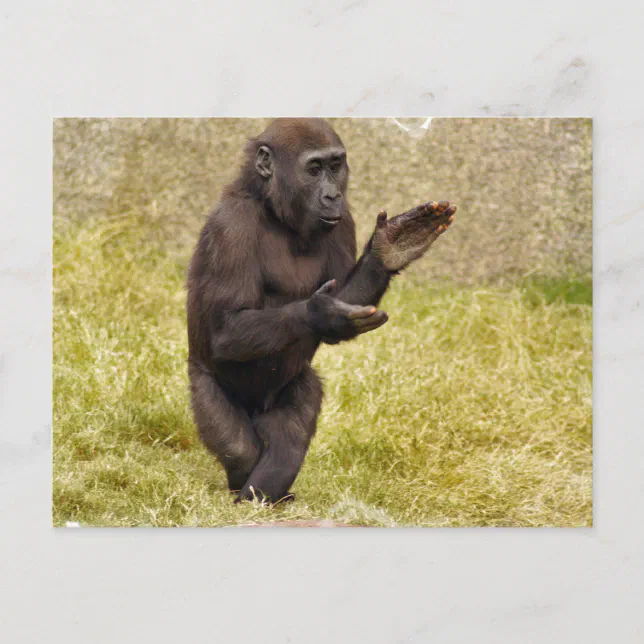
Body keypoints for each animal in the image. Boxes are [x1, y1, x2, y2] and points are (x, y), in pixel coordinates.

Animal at [186, 118, 456, 503]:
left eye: (335, 167)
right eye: (313, 170)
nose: (332, 196)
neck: (273, 210)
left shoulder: (344, 222)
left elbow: (350, 297)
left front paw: (389, 249)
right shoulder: (231, 227)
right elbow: (226, 328)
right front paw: (319, 313)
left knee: (287, 439)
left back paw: (270, 493)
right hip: (203, 383)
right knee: (236, 446)